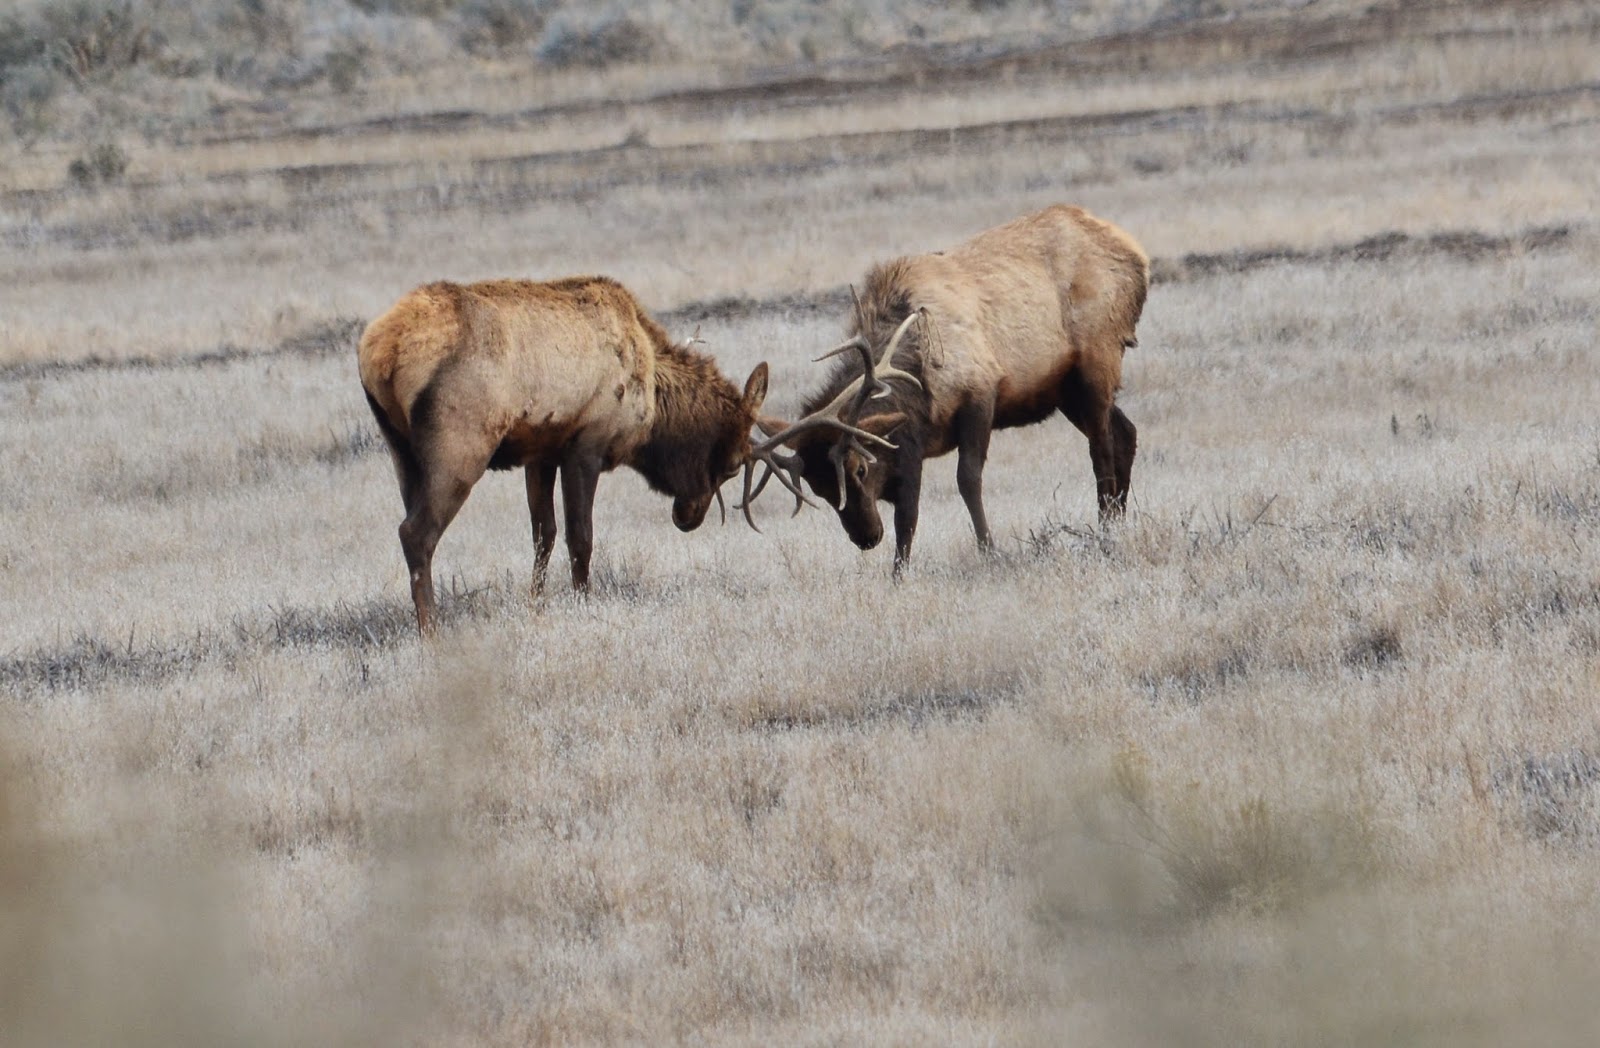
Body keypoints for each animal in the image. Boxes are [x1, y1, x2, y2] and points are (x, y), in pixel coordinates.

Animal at [359, 275, 886, 634]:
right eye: (733, 462)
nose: (687, 517)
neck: (653, 397)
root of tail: (379, 352)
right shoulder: (586, 444)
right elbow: (581, 538)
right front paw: (584, 603)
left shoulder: (540, 451)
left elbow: (543, 535)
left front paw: (537, 606)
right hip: (459, 445)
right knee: (416, 533)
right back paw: (431, 630)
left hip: (399, 450)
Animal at [741, 205, 1150, 576]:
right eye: (817, 487)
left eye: (859, 467)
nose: (866, 537)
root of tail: (1138, 258)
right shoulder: (910, 443)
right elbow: (908, 514)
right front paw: (899, 574)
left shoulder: (980, 393)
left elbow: (964, 482)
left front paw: (989, 551)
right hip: (1065, 391)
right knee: (1126, 432)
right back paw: (1119, 523)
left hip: (1097, 359)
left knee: (1101, 447)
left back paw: (1105, 530)